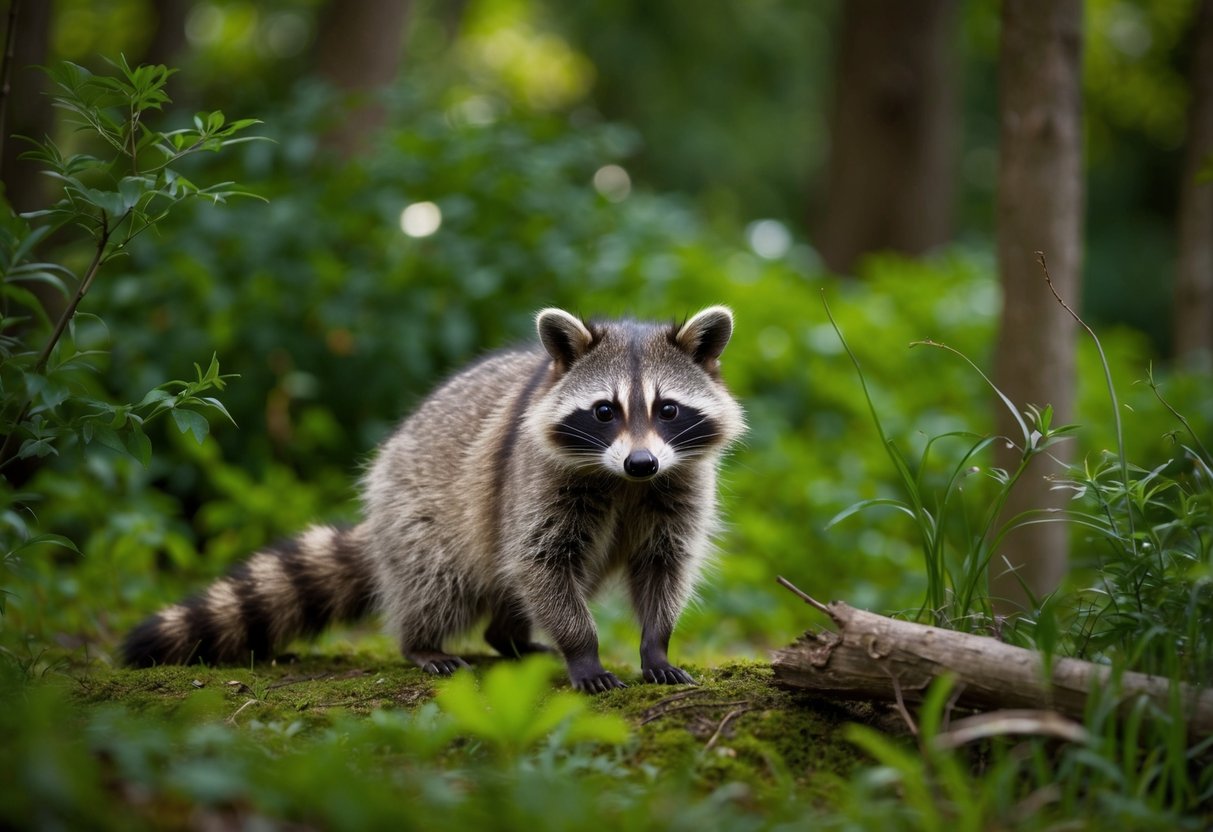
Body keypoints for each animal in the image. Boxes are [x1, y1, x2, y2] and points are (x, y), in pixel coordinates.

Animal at [123, 307, 745, 692]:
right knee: (439, 580)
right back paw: (425, 642)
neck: (623, 482)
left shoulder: (678, 484)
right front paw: (583, 648)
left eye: (668, 409)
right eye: (604, 411)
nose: (641, 463)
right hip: (414, 505)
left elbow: (663, 564)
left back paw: (508, 637)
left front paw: (656, 646)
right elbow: (541, 561)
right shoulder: (537, 482)